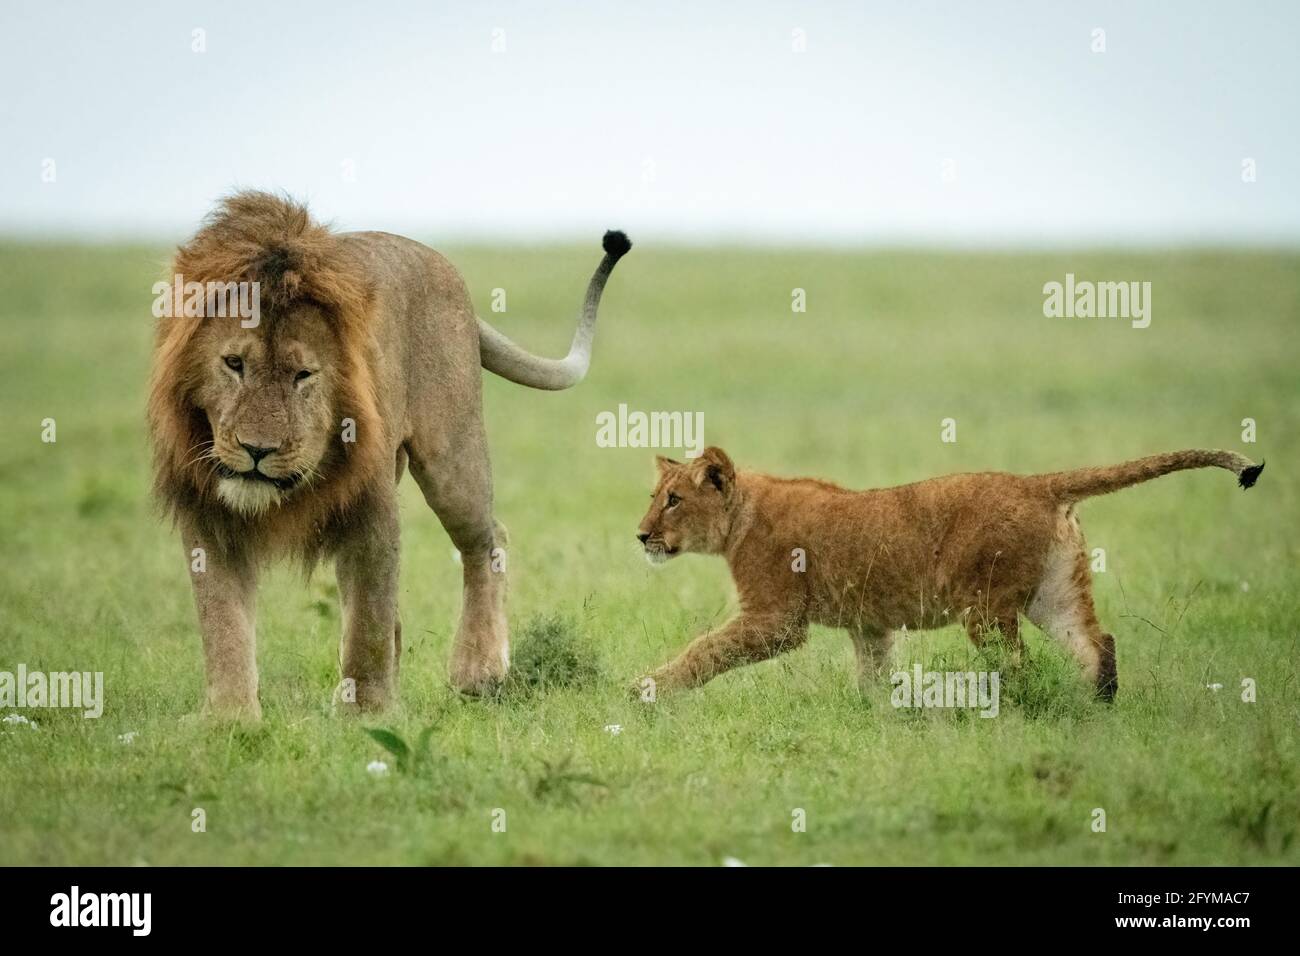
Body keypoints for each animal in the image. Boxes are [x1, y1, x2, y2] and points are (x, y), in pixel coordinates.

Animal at [148, 191, 630, 719]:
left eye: (304, 375)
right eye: (234, 364)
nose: (257, 450)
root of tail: (438, 260)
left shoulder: (371, 504)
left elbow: (369, 621)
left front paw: (366, 712)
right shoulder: (207, 510)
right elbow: (223, 620)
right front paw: (230, 718)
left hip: (452, 455)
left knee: (486, 540)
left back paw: (478, 669)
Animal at [635, 446, 1263, 700]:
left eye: (673, 500)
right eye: (655, 497)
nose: (640, 536)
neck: (740, 516)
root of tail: (1036, 483)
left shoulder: (776, 619)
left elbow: (707, 649)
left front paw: (650, 690)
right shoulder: (870, 624)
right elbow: (872, 673)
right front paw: (875, 714)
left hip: (984, 607)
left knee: (1019, 664)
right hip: (1054, 594)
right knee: (1096, 644)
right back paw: (1096, 710)